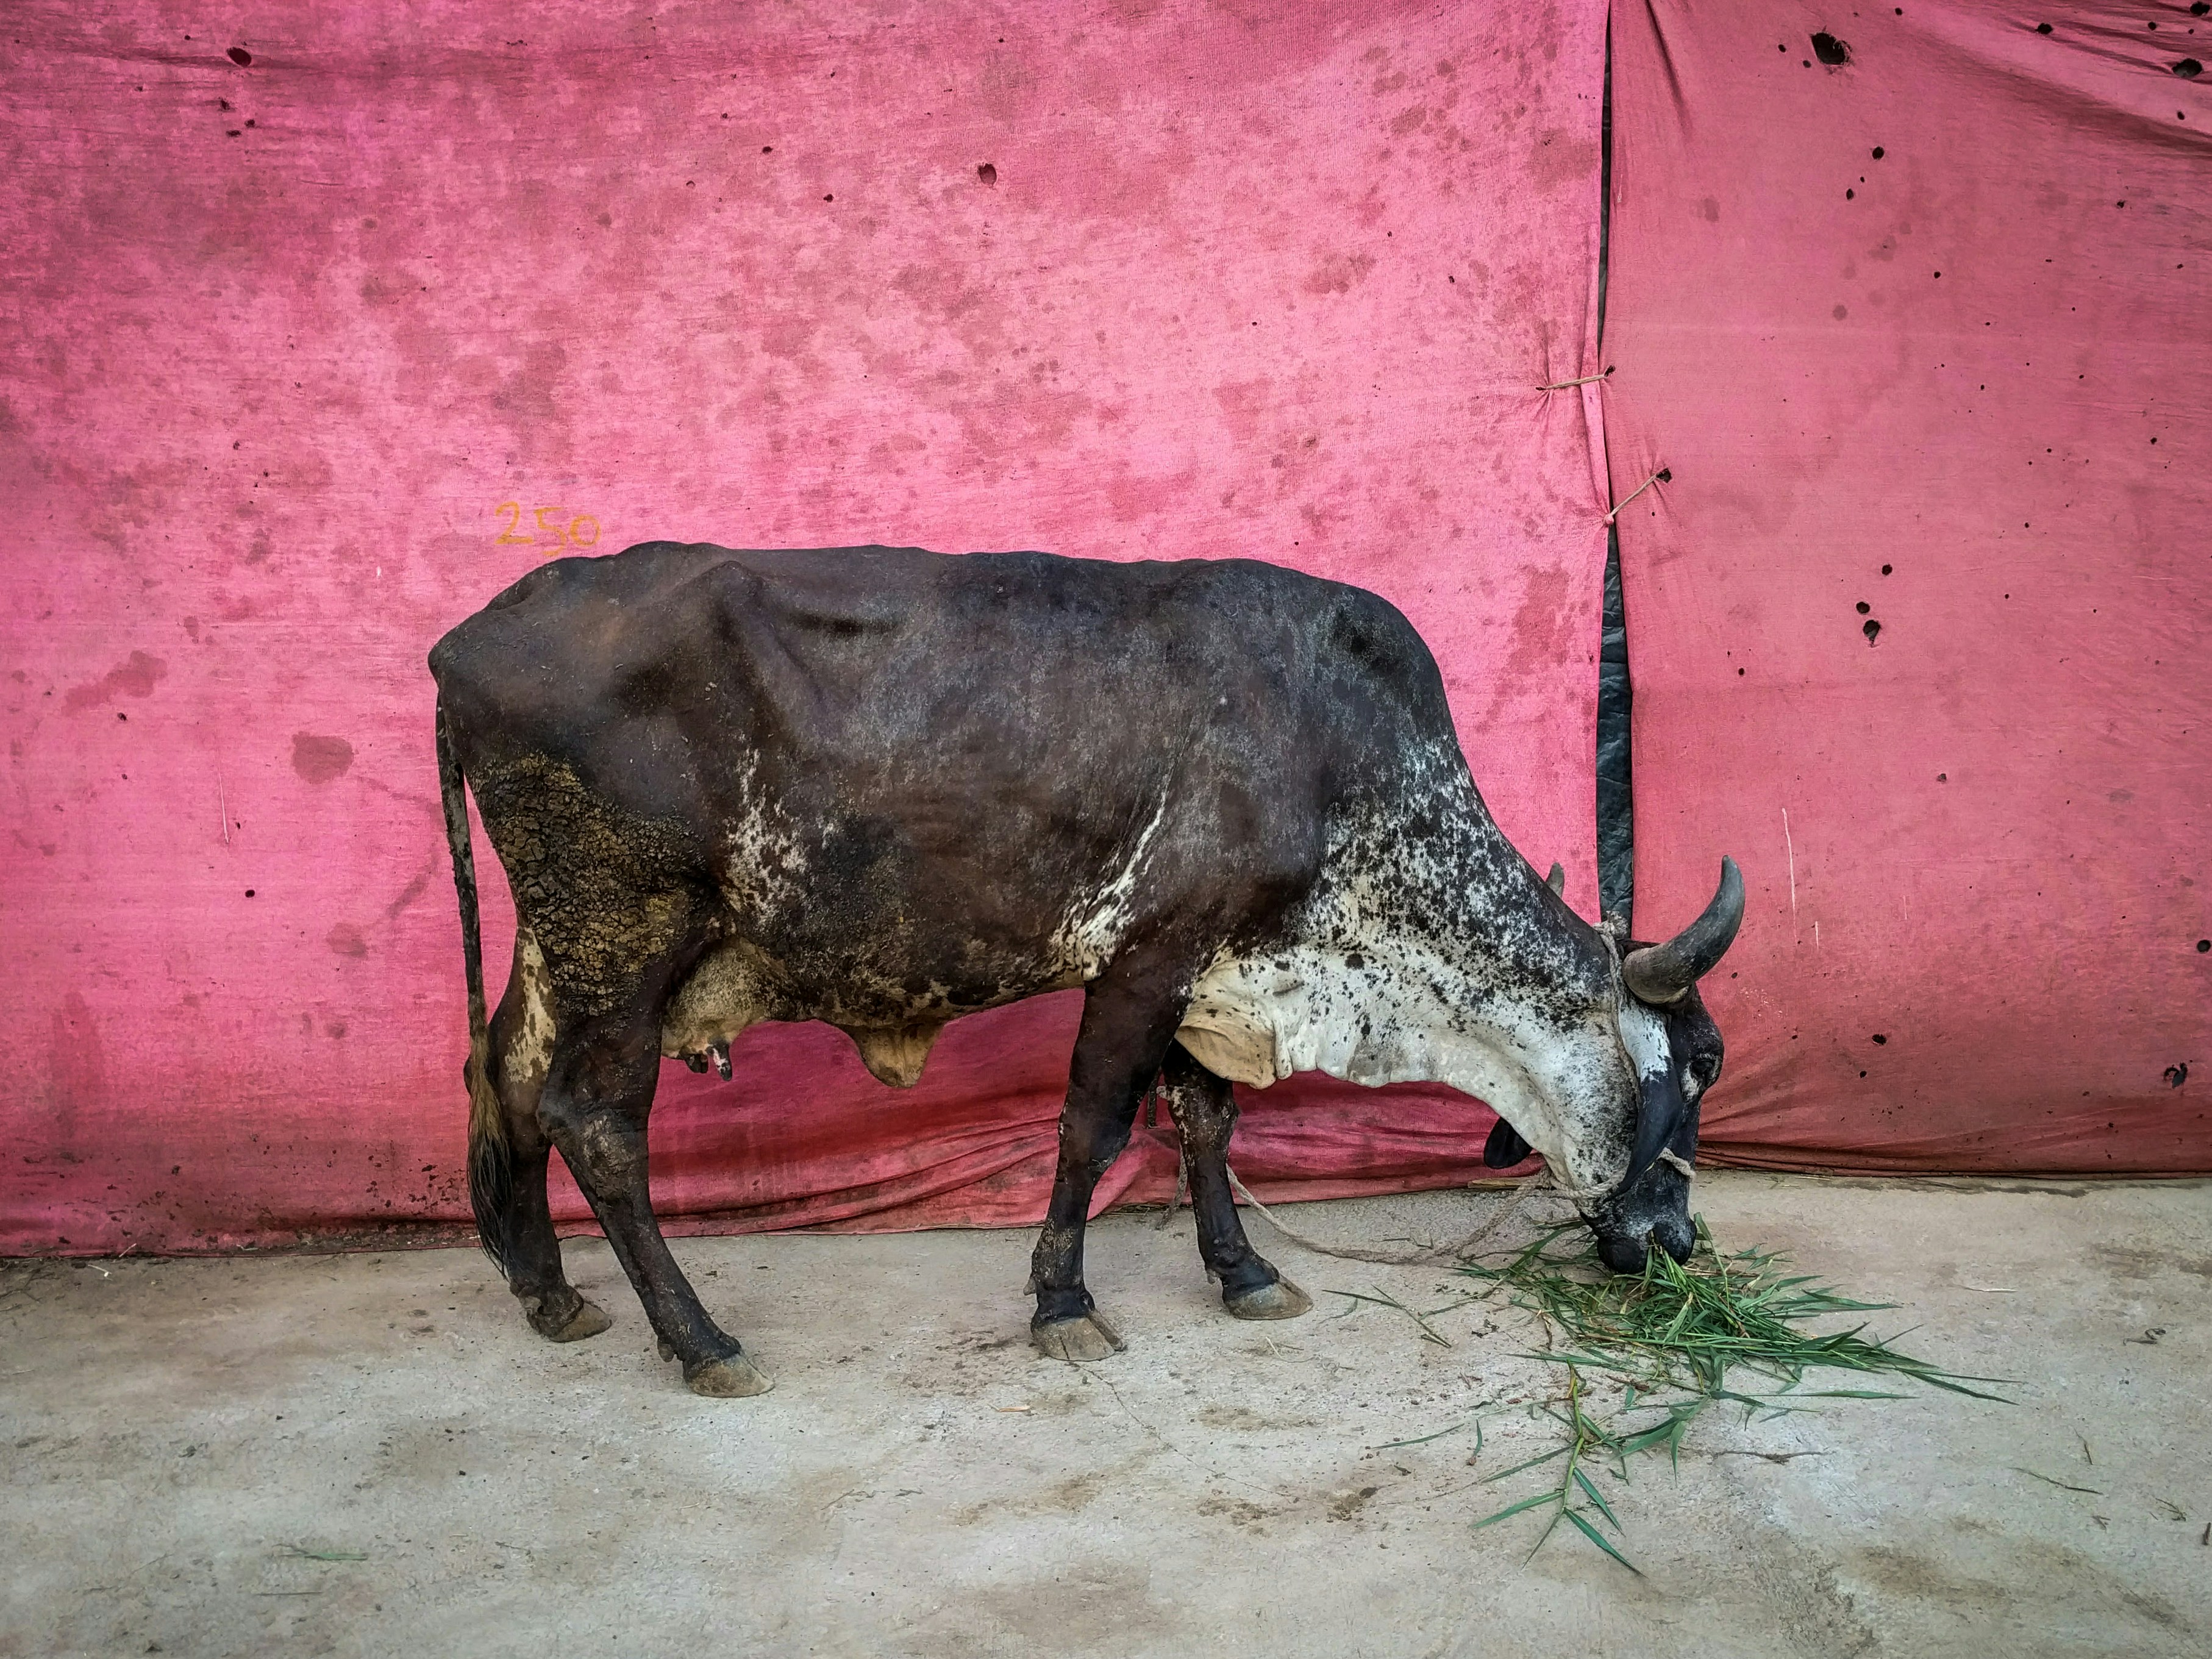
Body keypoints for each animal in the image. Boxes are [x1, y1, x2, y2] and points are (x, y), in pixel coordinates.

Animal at [430, 542, 1742, 1397]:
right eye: (1703, 1062)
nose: (1677, 1238)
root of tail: (467, 637)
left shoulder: (1211, 972)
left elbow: (1207, 1123)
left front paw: (1242, 1271)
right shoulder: (1146, 957)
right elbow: (1092, 1129)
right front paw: (1063, 1304)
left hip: (563, 952)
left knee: (505, 1079)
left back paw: (549, 1293)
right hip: (623, 942)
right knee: (595, 1122)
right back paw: (700, 1340)